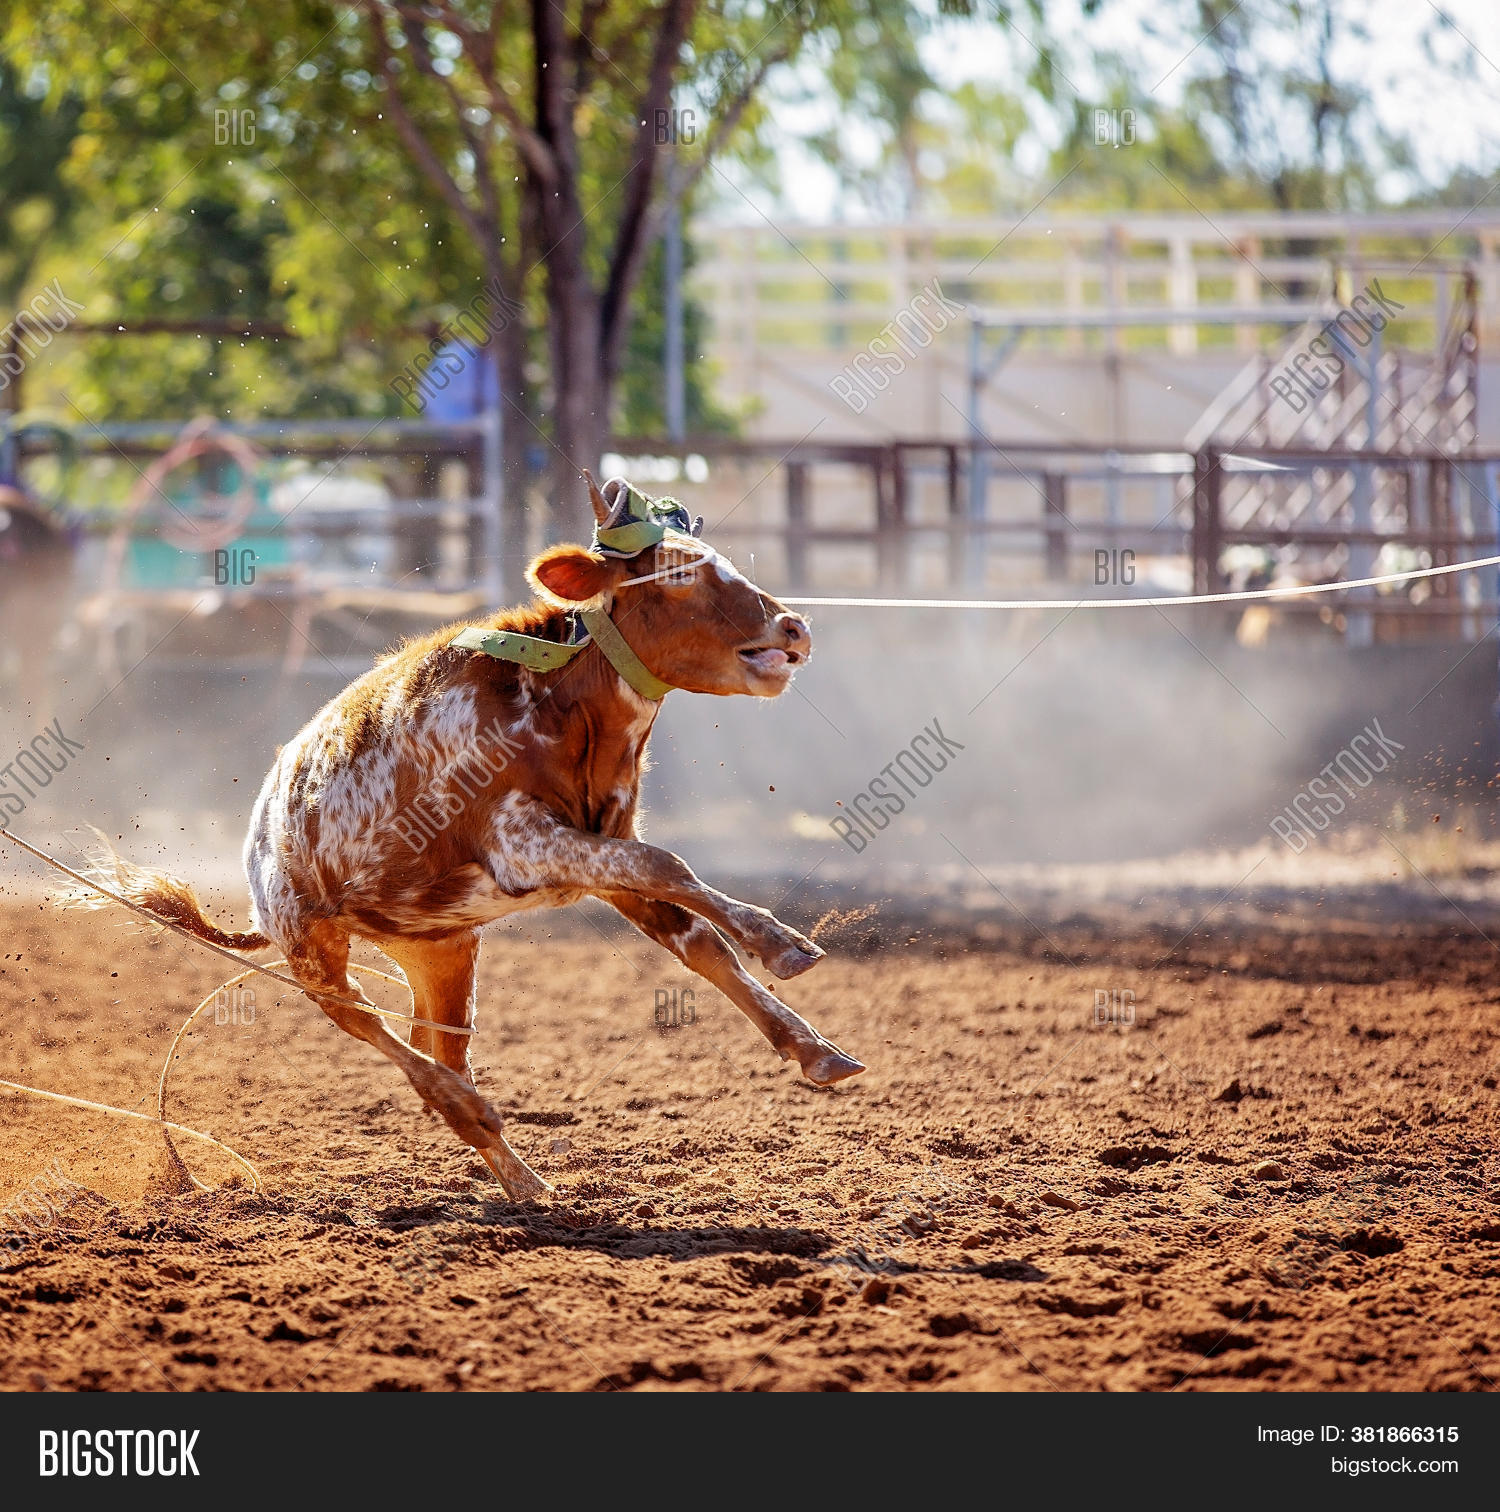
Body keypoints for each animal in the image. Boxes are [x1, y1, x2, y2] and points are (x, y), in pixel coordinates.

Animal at [80, 474, 865, 1199]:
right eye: (676, 572)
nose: (792, 629)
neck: (554, 706)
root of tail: (257, 848)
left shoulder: (601, 849)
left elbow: (693, 930)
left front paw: (812, 1043)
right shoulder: (525, 842)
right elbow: (665, 863)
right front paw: (782, 943)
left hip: (442, 949)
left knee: (439, 1042)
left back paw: (521, 1180)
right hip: (313, 955)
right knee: (388, 1040)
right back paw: (473, 1117)